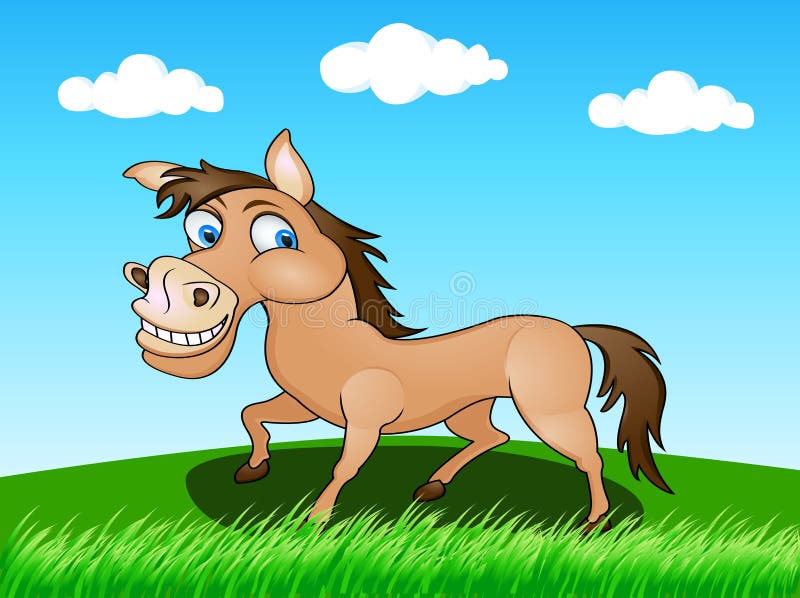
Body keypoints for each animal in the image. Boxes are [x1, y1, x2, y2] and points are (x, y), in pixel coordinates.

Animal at [123, 129, 671, 532]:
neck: (333, 344)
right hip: (466, 411)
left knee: (587, 456)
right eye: (204, 232)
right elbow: (251, 414)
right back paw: (433, 486)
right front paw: (253, 469)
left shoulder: (364, 422)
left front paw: (315, 519)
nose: (166, 288)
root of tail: (572, 330)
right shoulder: (305, 406)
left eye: (280, 236)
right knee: (493, 436)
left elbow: (344, 467)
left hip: (550, 410)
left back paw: (594, 522)